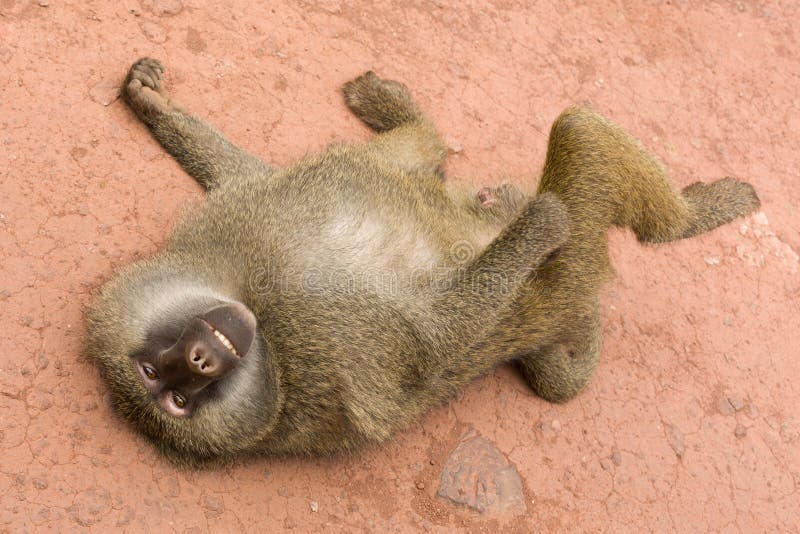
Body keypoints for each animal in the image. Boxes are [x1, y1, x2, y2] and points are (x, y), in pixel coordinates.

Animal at [85, 58, 759, 466]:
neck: (267, 321)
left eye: (155, 372)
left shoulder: (238, 222)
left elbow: (242, 171)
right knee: (580, 139)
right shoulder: (342, 350)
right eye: (168, 393)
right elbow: (437, 336)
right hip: (573, 262)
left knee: (423, 153)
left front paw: (150, 101)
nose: (201, 360)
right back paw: (685, 217)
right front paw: (543, 223)